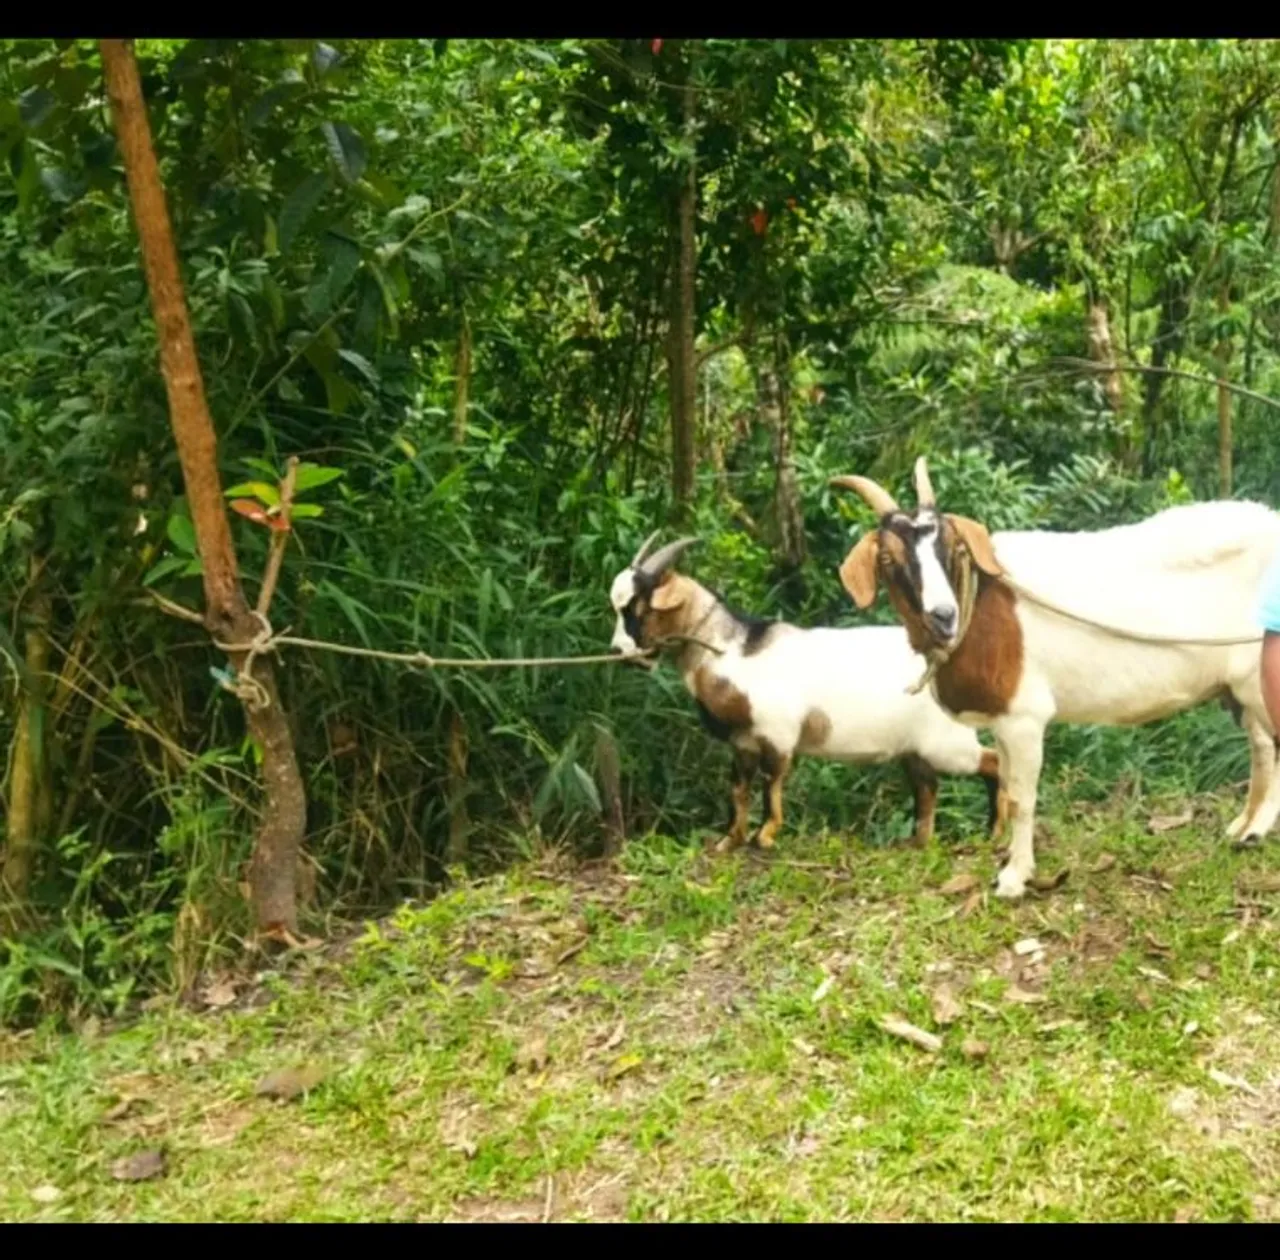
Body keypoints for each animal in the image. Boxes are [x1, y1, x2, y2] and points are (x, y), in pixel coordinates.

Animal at [607, 532, 1006, 852]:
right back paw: (918, 842)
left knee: (992, 764)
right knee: (927, 788)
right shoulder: (743, 744)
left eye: (639, 607)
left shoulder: (777, 735)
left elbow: (772, 784)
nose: (618, 650)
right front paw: (730, 840)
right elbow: (738, 790)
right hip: (915, 750)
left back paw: (995, 833)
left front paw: (766, 836)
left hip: (947, 743)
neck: (735, 650)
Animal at [831, 457, 1280, 899]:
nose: (942, 617)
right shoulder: (1002, 720)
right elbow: (1007, 785)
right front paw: (1008, 862)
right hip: (1239, 689)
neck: (978, 608)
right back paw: (1244, 827)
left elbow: (1022, 798)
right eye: (887, 560)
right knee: (1261, 746)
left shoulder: (1025, 717)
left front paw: (1015, 878)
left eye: (954, 547)